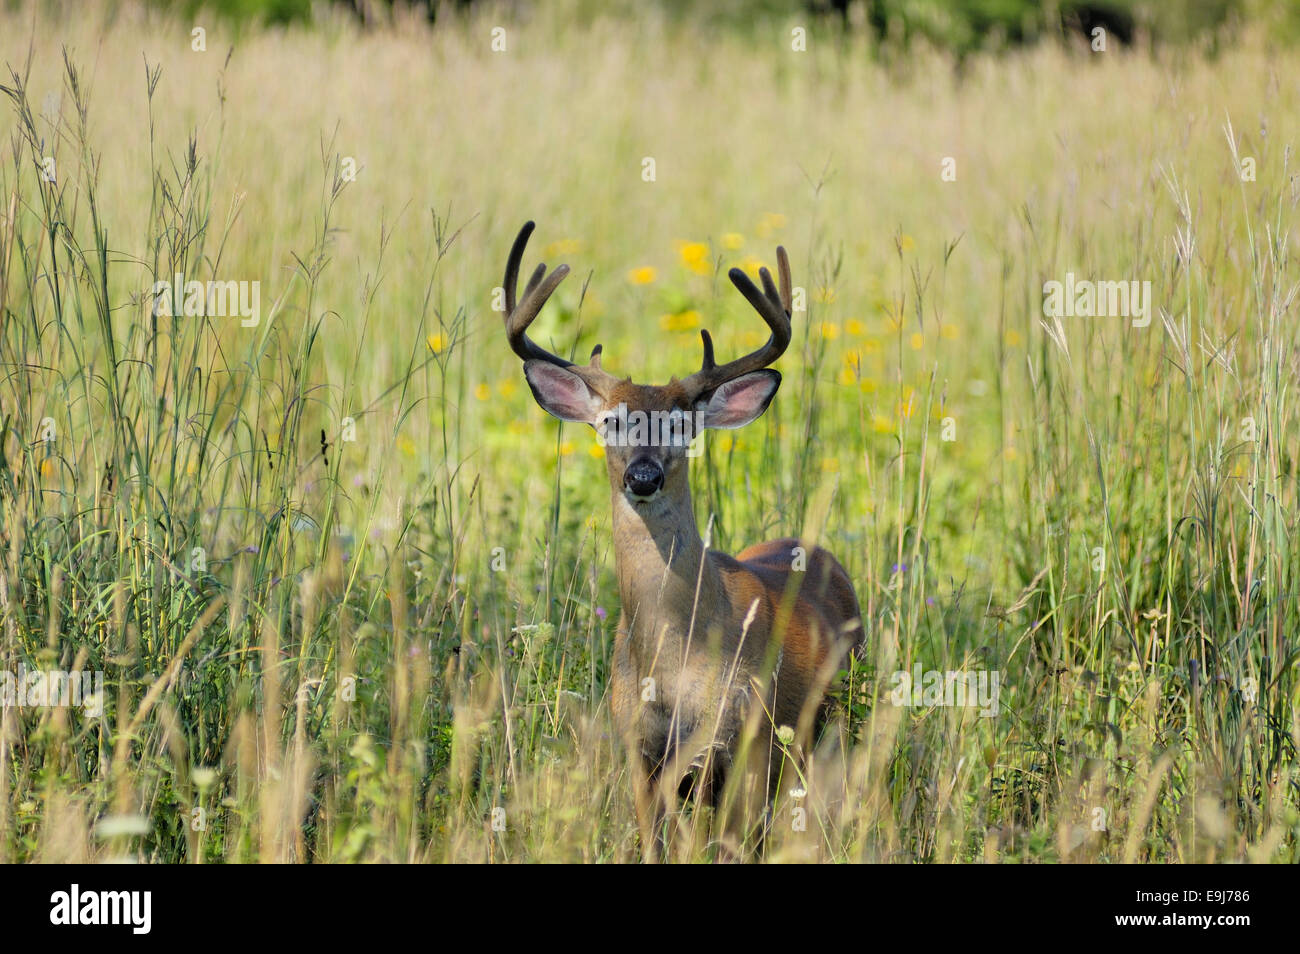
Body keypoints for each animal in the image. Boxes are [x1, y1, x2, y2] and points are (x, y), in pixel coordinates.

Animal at [499, 221, 863, 859]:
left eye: (681, 423)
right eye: (610, 421)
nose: (643, 476)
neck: (674, 659)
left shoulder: (746, 741)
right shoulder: (640, 753)